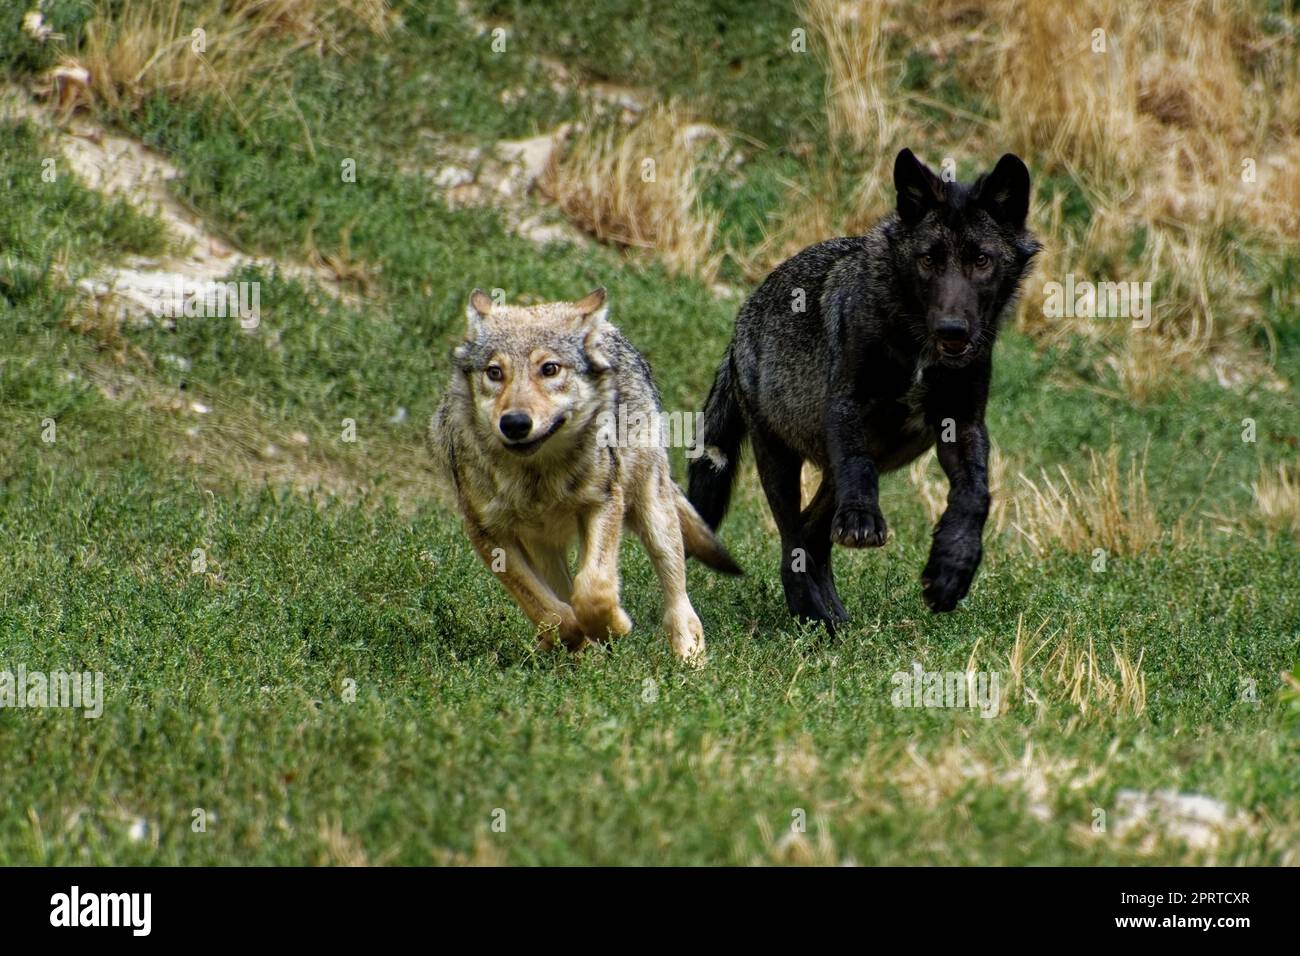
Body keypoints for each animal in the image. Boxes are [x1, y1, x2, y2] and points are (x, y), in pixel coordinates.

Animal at [428, 287, 741, 660]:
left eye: (549, 369)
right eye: (494, 372)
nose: (515, 423)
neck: (537, 479)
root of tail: (609, 331)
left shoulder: (603, 501)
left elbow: (593, 590)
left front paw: (613, 626)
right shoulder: (487, 534)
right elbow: (548, 610)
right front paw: (574, 637)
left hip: (654, 512)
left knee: (677, 595)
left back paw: (689, 657)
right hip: (544, 546)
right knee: (561, 594)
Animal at [688, 149, 1038, 631]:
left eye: (981, 260)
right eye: (929, 260)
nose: (951, 330)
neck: (917, 347)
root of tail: (743, 317)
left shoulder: (963, 423)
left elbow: (975, 494)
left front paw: (952, 567)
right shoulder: (848, 407)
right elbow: (859, 470)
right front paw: (863, 519)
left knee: (811, 537)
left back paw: (831, 621)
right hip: (779, 460)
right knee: (792, 541)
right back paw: (813, 618)